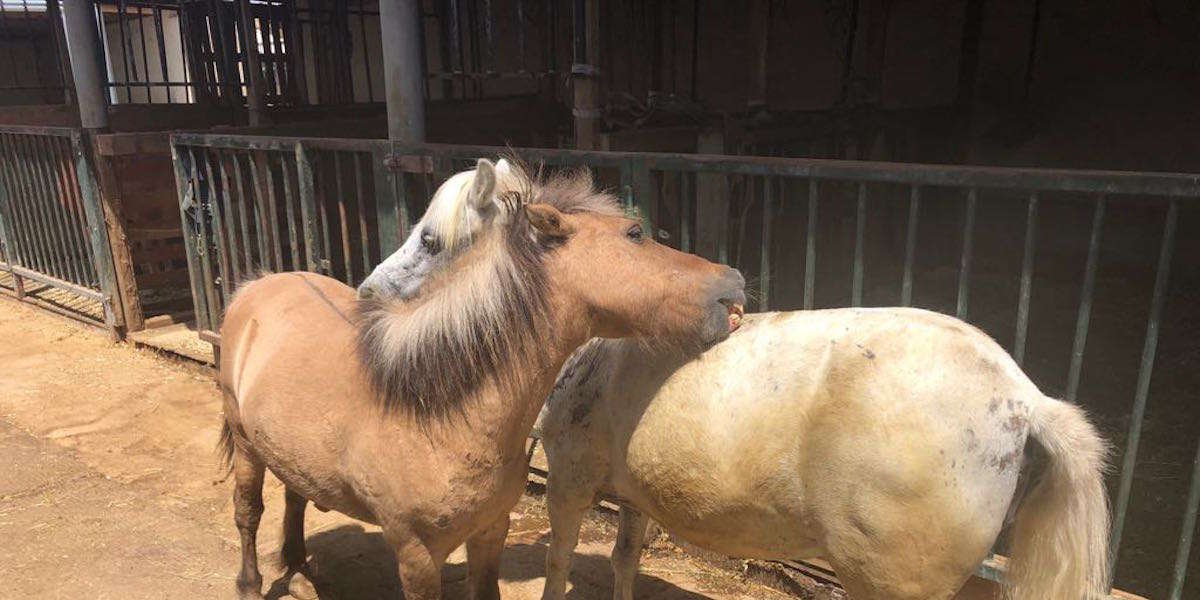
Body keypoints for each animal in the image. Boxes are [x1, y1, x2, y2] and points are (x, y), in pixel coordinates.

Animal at [216, 163, 747, 600]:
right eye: (635, 233)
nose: (734, 281)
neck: (439, 414)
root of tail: (257, 284)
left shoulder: (492, 531)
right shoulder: (416, 557)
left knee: (295, 494)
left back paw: (300, 571)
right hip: (245, 444)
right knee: (248, 512)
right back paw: (251, 584)